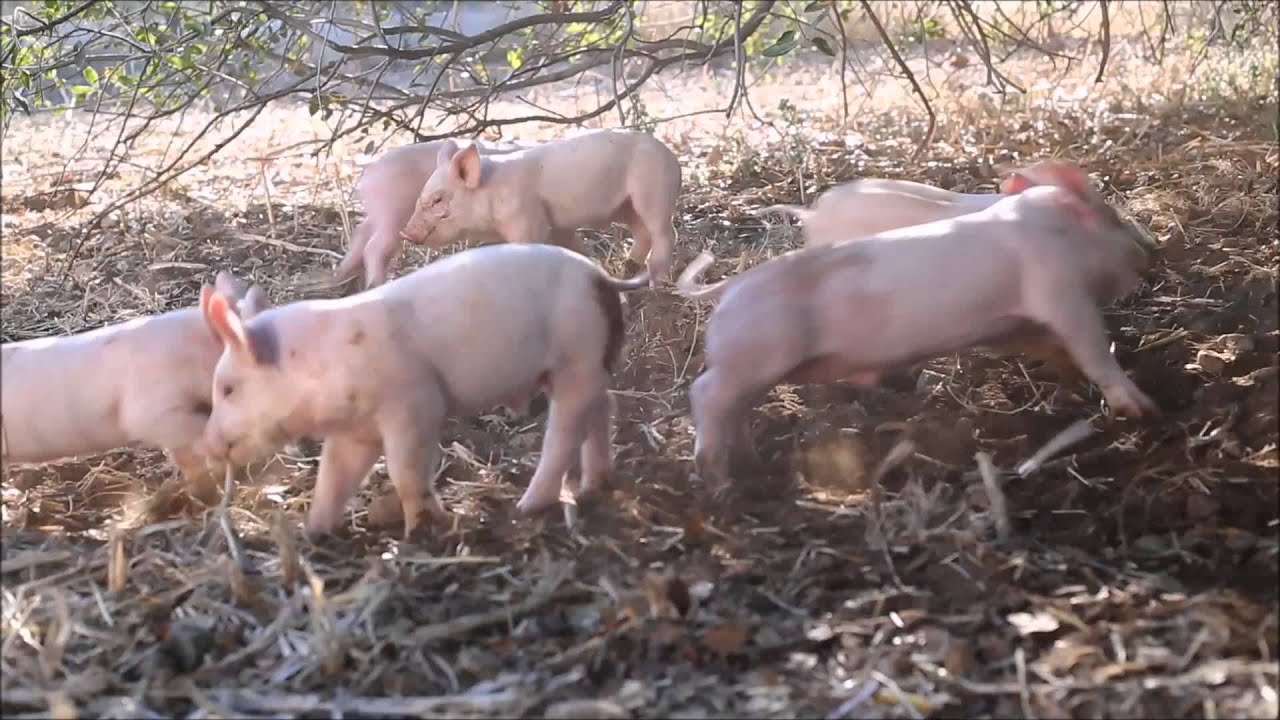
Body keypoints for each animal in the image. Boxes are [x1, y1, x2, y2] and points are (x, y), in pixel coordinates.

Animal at [197, 243, 650, 538]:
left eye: (228, 388)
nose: (208, 444)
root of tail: (602, 279)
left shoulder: (414, 403)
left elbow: (406, 471)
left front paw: (422, 530)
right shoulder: (354, 432)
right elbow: (333, 478)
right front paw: (312, 533)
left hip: (576, 357)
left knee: (565, 434)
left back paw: (527, 507)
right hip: (587, 365)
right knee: (602, 408)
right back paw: (593, 485)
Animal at [333, 137, 532, 291]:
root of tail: (369, 172)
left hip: (379, 214)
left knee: (360, 233)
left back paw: (342, 277)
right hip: (393, 214)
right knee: (374, 247)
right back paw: (376, 284)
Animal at [399, 129, 682, 287]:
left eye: (437, 200)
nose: (405, 232)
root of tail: (671, 156)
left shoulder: (527, 219)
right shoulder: (557, 226)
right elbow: (576, 249)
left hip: (654, 193)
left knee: (664, 233)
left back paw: (656, 282)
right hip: (626, 207)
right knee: (642, 232)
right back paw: (629, 268)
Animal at [676, 181, 1159, 484]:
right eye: (1112, 218)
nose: (1149, 252)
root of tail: (730, 287)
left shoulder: (1008, 326)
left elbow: (1053, 346)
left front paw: (1073, 388)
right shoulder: (1058, 290)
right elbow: (1091, 346)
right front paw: (1143, 410)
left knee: (735, 407)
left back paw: (747, 461)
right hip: (755, 354)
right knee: (705, 392)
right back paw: (715, 477)